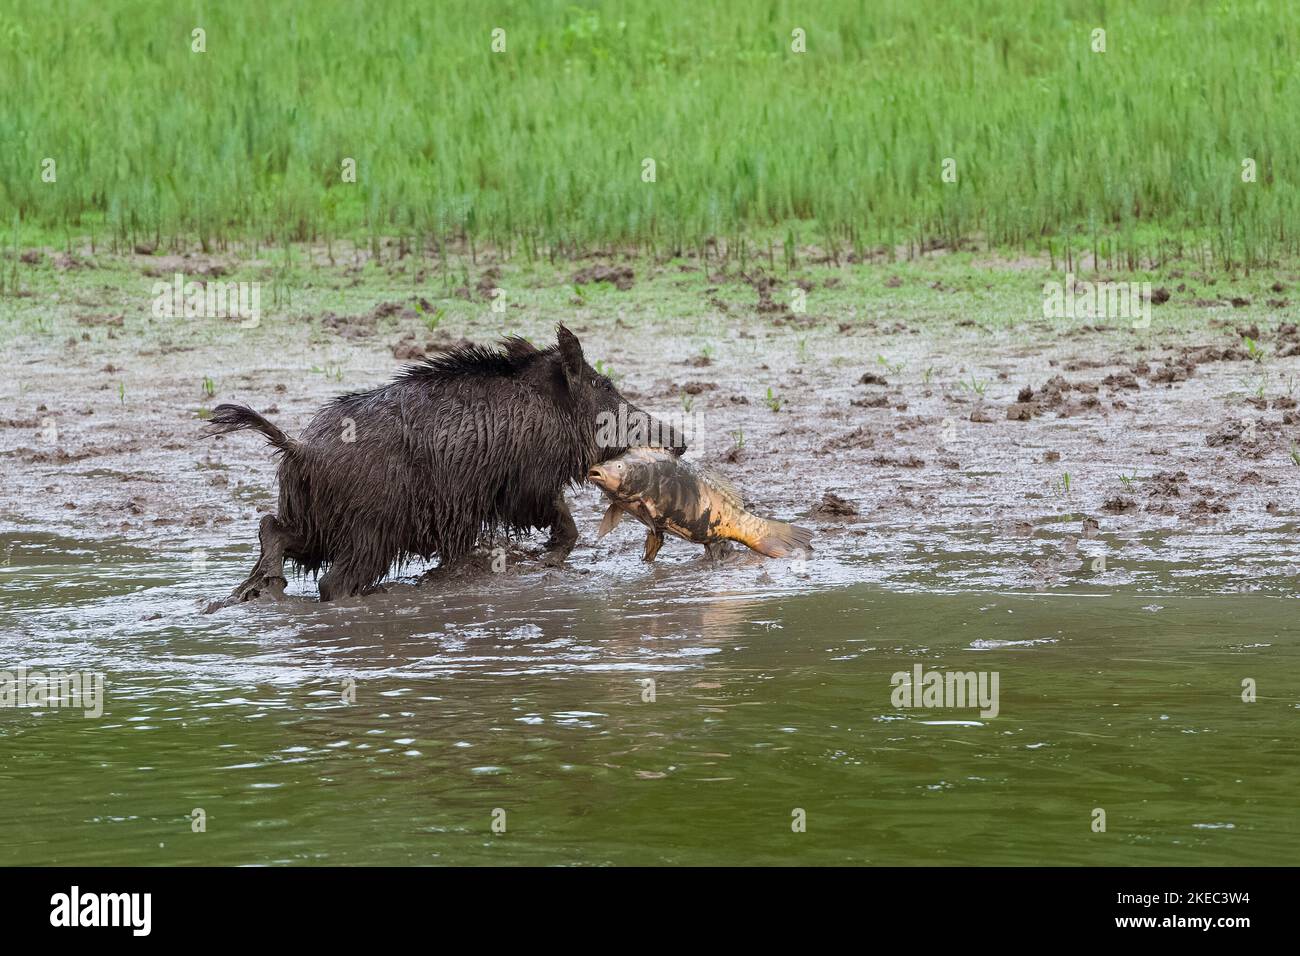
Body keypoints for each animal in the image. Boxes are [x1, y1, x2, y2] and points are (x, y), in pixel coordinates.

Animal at [202, 325, 682, 605]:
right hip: (369, 531)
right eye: (606, 386)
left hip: (314, 521)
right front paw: (545, 559)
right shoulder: (525, 484)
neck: (549, 408)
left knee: (273, 528)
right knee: (330, 583)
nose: (679, 440)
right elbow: (563, 522)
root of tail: (300, 447)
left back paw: (256, 592)